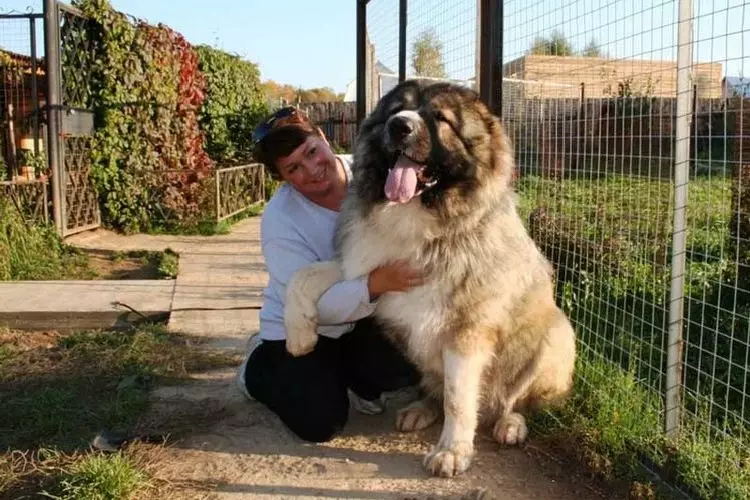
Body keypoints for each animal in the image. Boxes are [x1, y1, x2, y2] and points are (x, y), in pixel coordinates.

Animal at [284, 80, 580, 478]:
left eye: (440, 118)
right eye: (397, 110)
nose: (400, 126)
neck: (417, 220)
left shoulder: (466, 331)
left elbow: (458, 399)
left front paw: (452, 451)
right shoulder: (360, 264)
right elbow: (302, 275)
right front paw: (299, 335)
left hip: (555, 335)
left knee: (515, 400)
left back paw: (510, 423)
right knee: (433, 388)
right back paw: (421, 409)